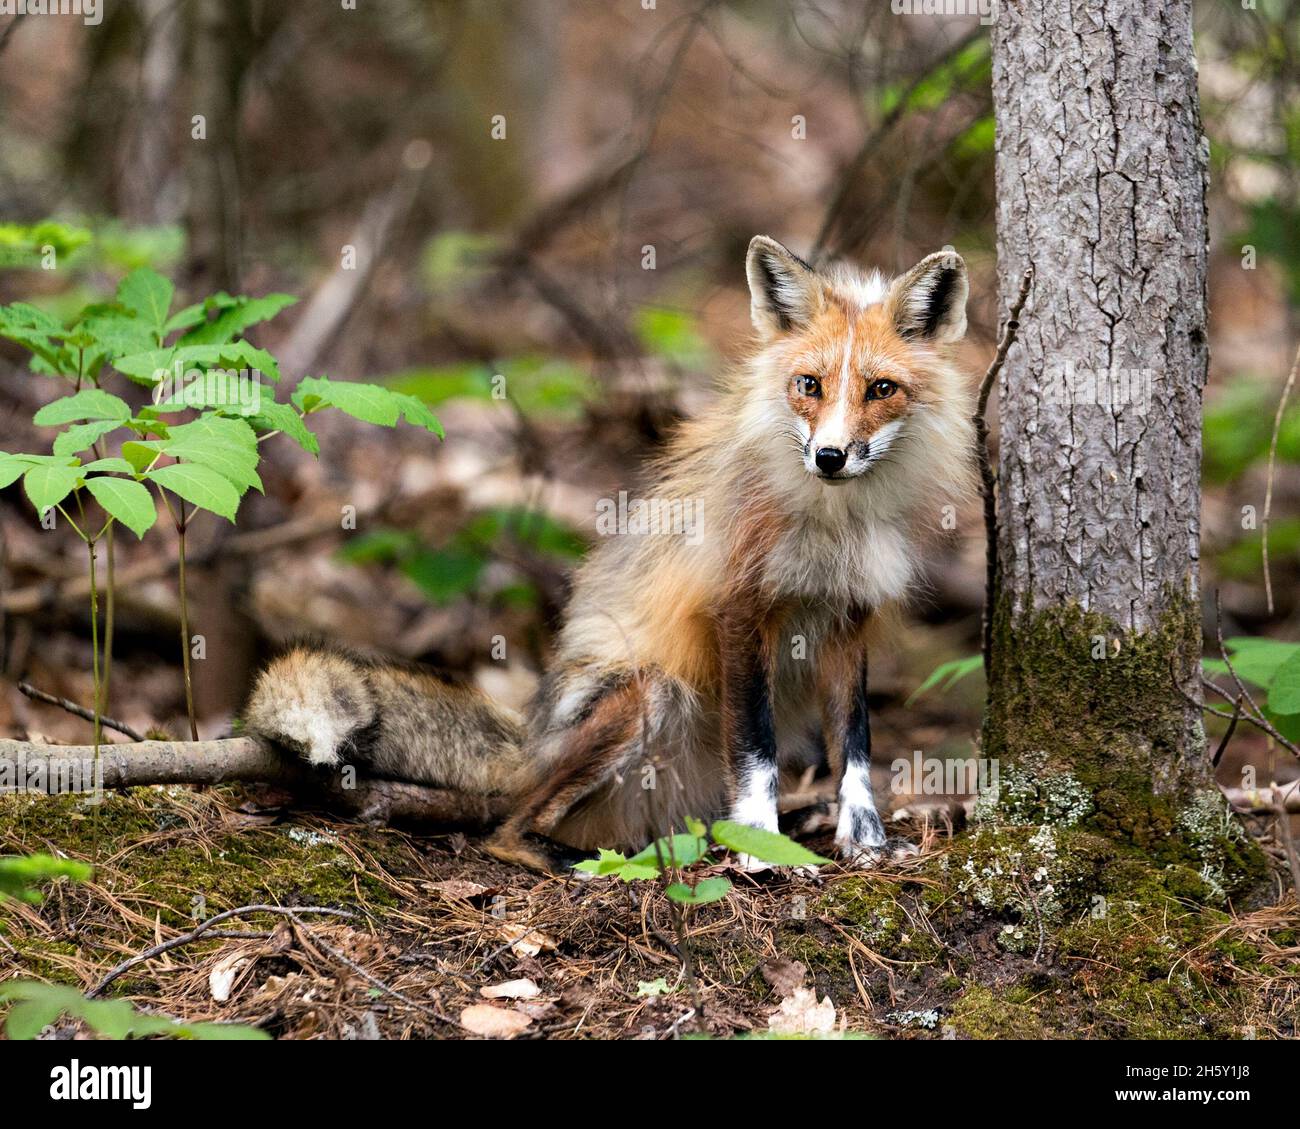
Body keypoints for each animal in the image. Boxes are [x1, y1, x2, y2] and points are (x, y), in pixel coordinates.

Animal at [242, 236, 976, 872]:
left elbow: (855, 748)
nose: (828, 456)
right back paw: (579, 864)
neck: (833, 526)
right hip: (648, 693)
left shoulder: (850, 618)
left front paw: (866, 841)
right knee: (506, 826)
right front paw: (761, 849)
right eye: (809, 384)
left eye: (880, 389)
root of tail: (533, 736)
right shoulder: (739, 609)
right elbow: (757, 751)